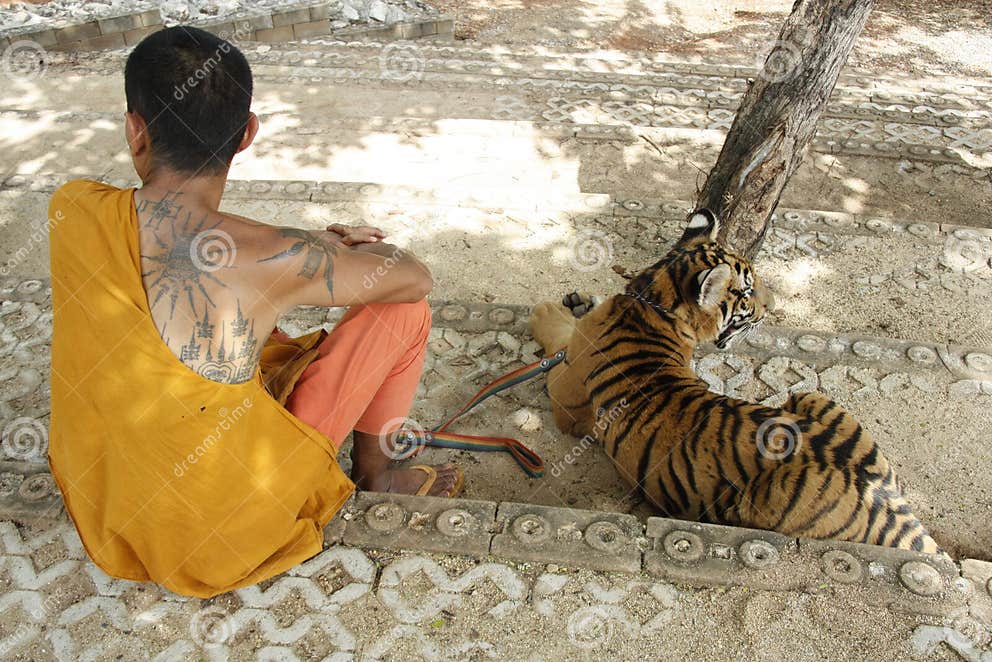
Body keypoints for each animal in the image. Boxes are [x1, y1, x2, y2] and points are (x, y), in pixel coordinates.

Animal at [529, 209, 940, 553]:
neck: (652, 300)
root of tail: (887, 504)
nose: (773, 305)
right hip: (812, 397)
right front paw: (578, 301)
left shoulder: (567, 394)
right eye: (747, 292)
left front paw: (548, 311)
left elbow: (558, 340)